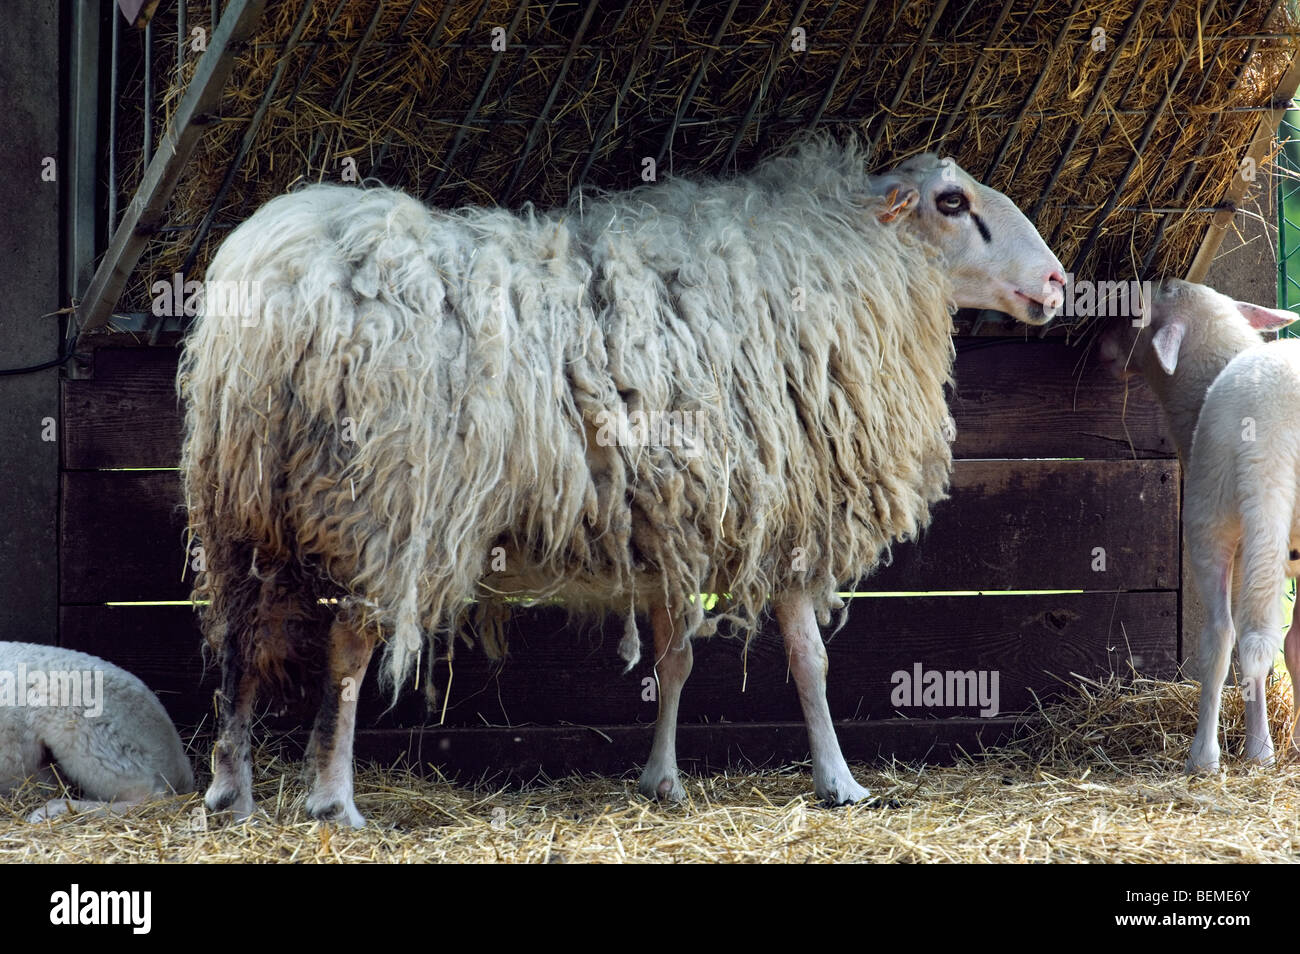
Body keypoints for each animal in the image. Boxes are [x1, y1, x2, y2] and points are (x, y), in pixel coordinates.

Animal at [179, 136, 1066, 826]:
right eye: (951, 201)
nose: (1058, 283)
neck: (852, 261)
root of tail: (274, 282)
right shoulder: (788, 510)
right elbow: (810, 661)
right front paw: (840, 782)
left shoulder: (683, 516)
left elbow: (675, 659)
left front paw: (662, 779)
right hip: (386, 503)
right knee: (349, 648)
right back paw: (334, 801)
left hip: (241, 503)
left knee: (239, 644)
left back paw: (231, 793)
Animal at [1098, 278, 1299, 771]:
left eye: (1134, 312)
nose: (1100, 347)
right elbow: (1293, 645)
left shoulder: (1236, 544)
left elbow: (1231, 640)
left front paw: (1246, 751)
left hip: (1223, 516)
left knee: (1231, 636)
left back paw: (1210, 756)